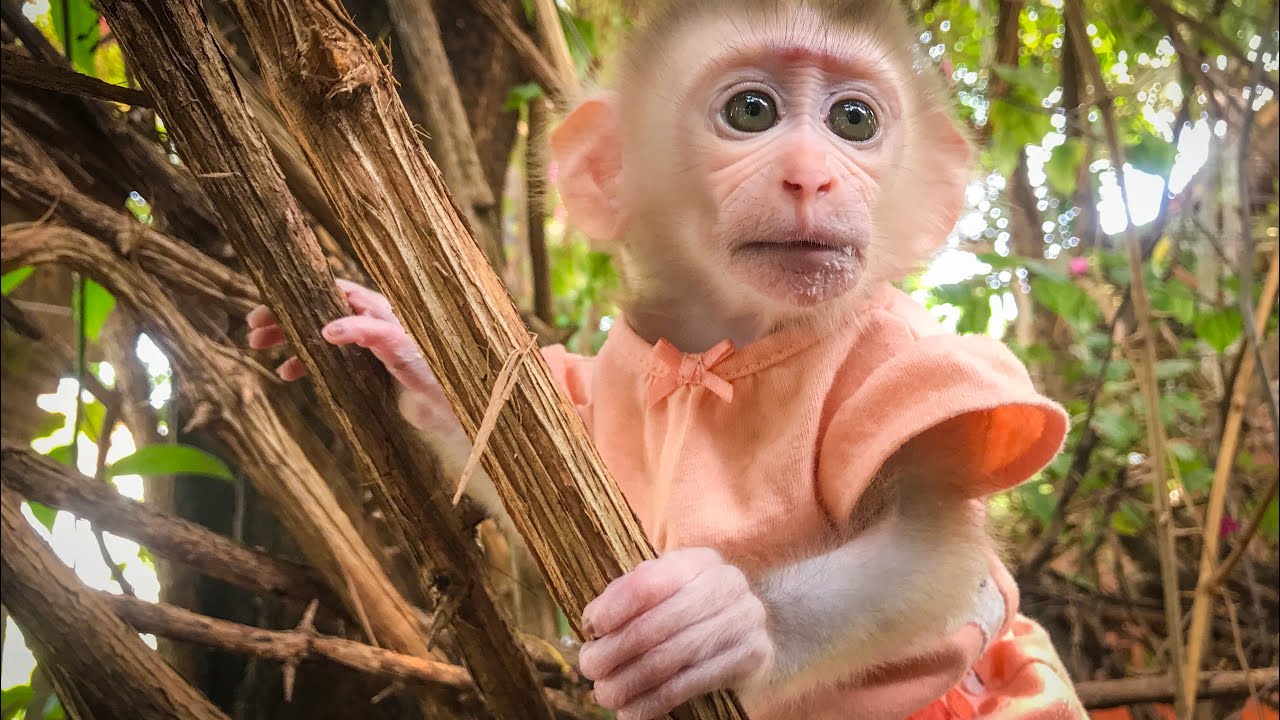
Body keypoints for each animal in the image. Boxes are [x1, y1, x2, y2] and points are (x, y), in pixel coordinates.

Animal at [248, 1, 1088, 718]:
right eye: (751, 112)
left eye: (855, 121)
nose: (813, 176)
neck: (729, 338)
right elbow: (520, 473)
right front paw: (406, 355)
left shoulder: (903, 349)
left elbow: (924, 537)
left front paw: (723, 627)